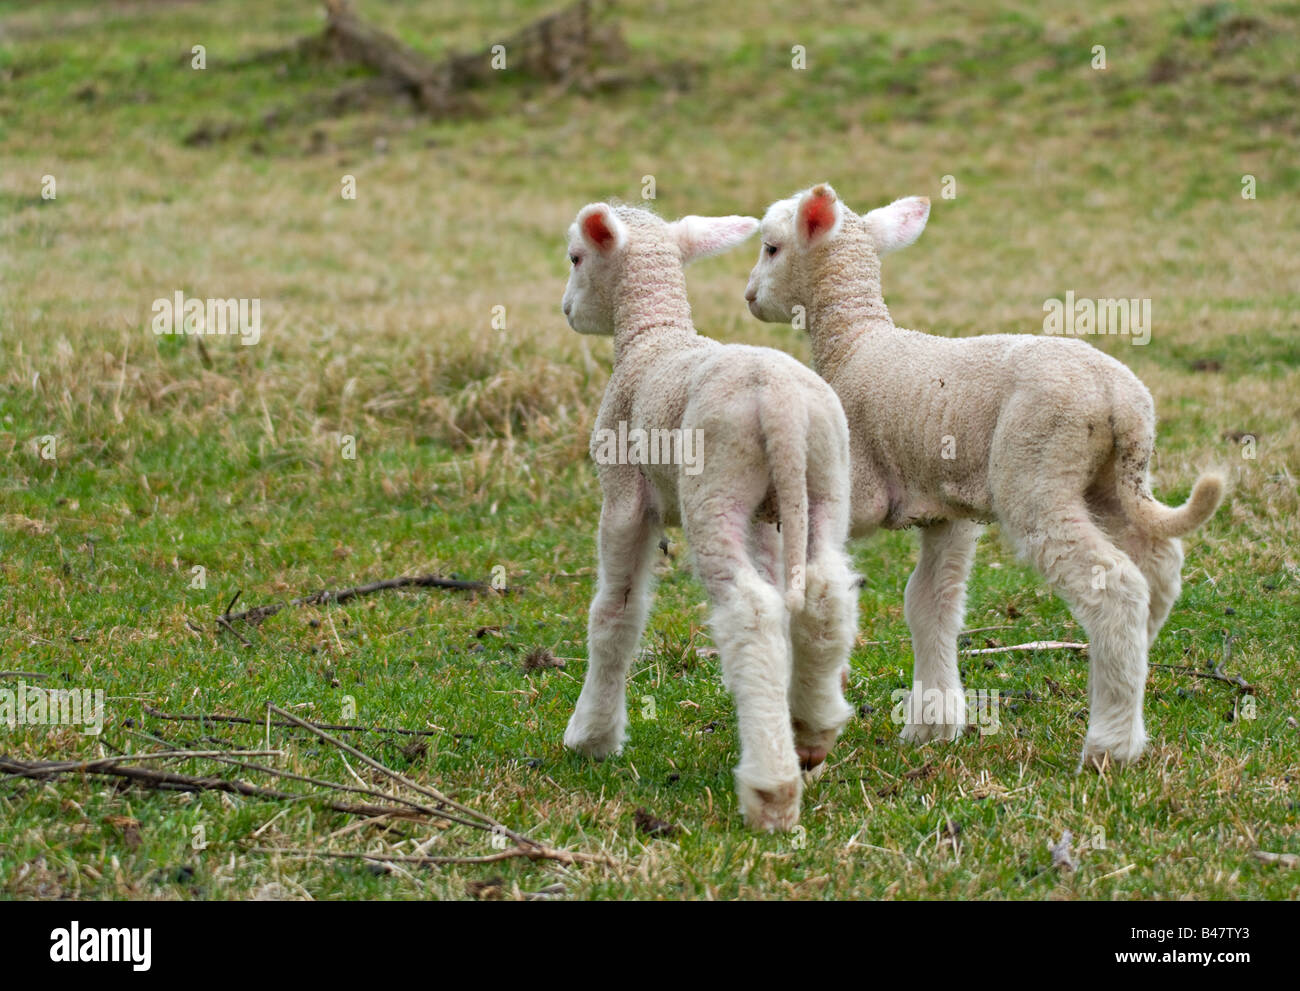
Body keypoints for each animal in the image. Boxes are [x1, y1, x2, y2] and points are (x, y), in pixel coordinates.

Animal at [560, 201, 858, 830]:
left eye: (576, 258)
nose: (568, 310)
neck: (653, 339)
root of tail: (779, 400)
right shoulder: (765, 521)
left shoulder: (623, 495)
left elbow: (615, 613)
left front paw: (592, 736)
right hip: (823, 481)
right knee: (824, 593)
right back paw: (810, 732)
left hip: (714, 490)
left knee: (751, 610)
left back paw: (771, 788)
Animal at [744, 183, 1225, 769]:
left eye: (771, 248)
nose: (749, 297)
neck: (855, 344)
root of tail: (1120, 400)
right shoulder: (945, 513)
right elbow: (929, 604)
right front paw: (932, 725)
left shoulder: (856, 489)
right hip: (1109, 481)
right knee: (1158, 568)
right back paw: (1131, 697)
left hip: (1037, 474)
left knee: (1116, 587)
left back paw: (1109, 746)